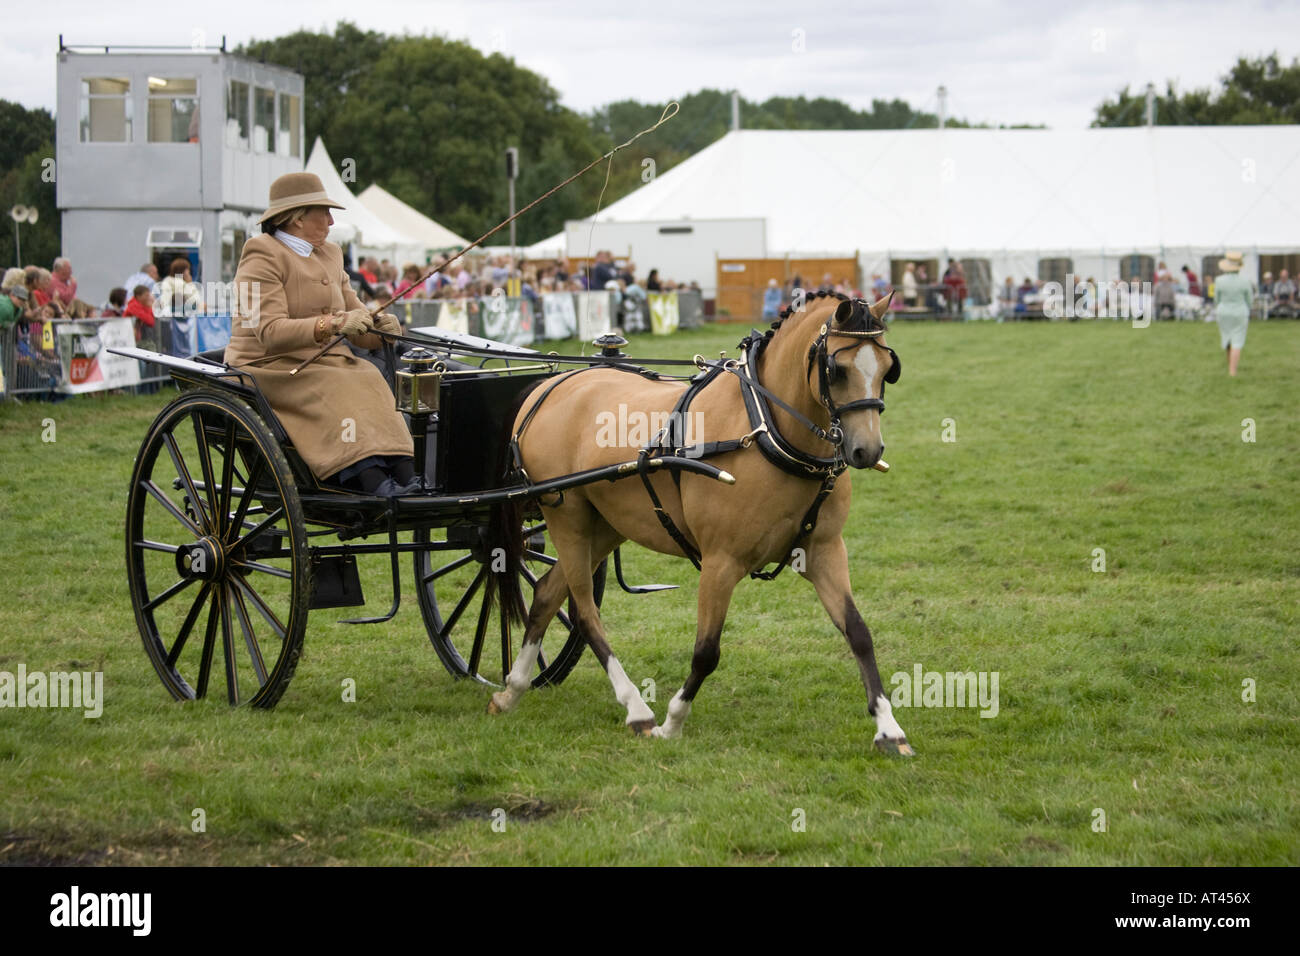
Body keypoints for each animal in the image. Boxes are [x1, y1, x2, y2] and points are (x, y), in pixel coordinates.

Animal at [485, 290, 911, 754]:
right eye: (838, 369)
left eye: (887, 368)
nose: (867, 450)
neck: (765, 426)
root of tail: (549, 386)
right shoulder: (721, 561)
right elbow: (707, 650)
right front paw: (673, 721)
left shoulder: (824, 551)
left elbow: (858, 632)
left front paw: (888, 728)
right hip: (567, 516)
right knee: (584, 611)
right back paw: (636, 707)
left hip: (605, 525)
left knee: (547, 593)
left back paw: (512, 689)